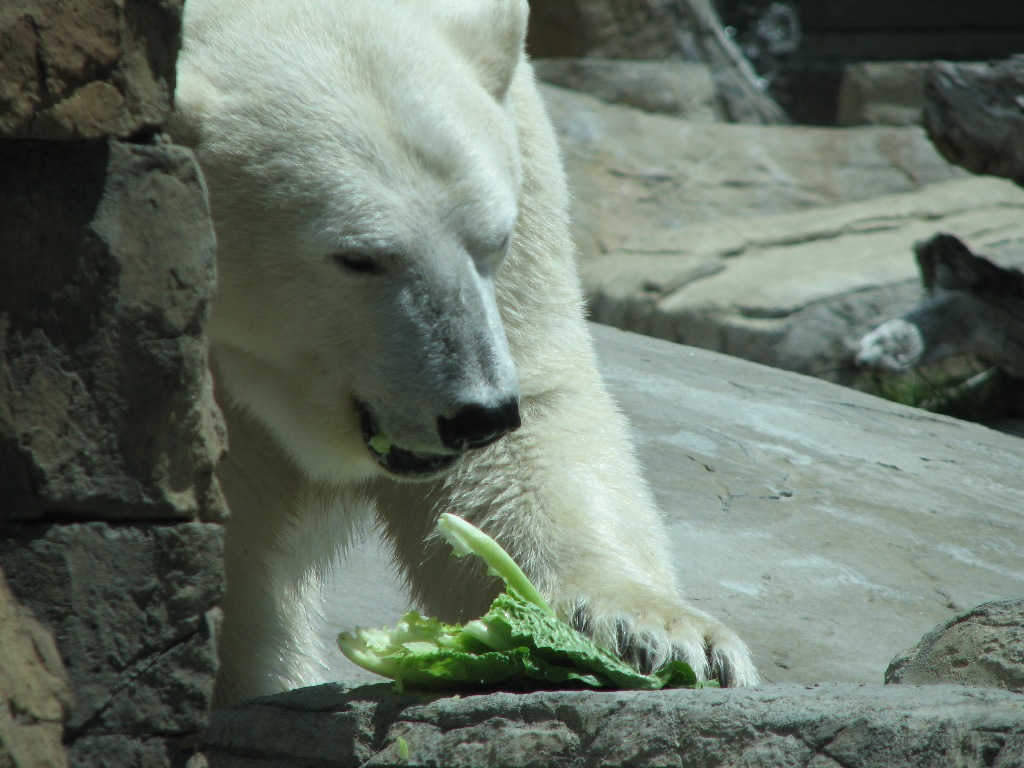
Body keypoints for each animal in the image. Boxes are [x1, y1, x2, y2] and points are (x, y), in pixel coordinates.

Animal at [170, 0, 758, 705]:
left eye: (493, 239)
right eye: (358, 257)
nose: (477, 415)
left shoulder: (523, 151)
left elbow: (535, 427)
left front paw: (663, 636)